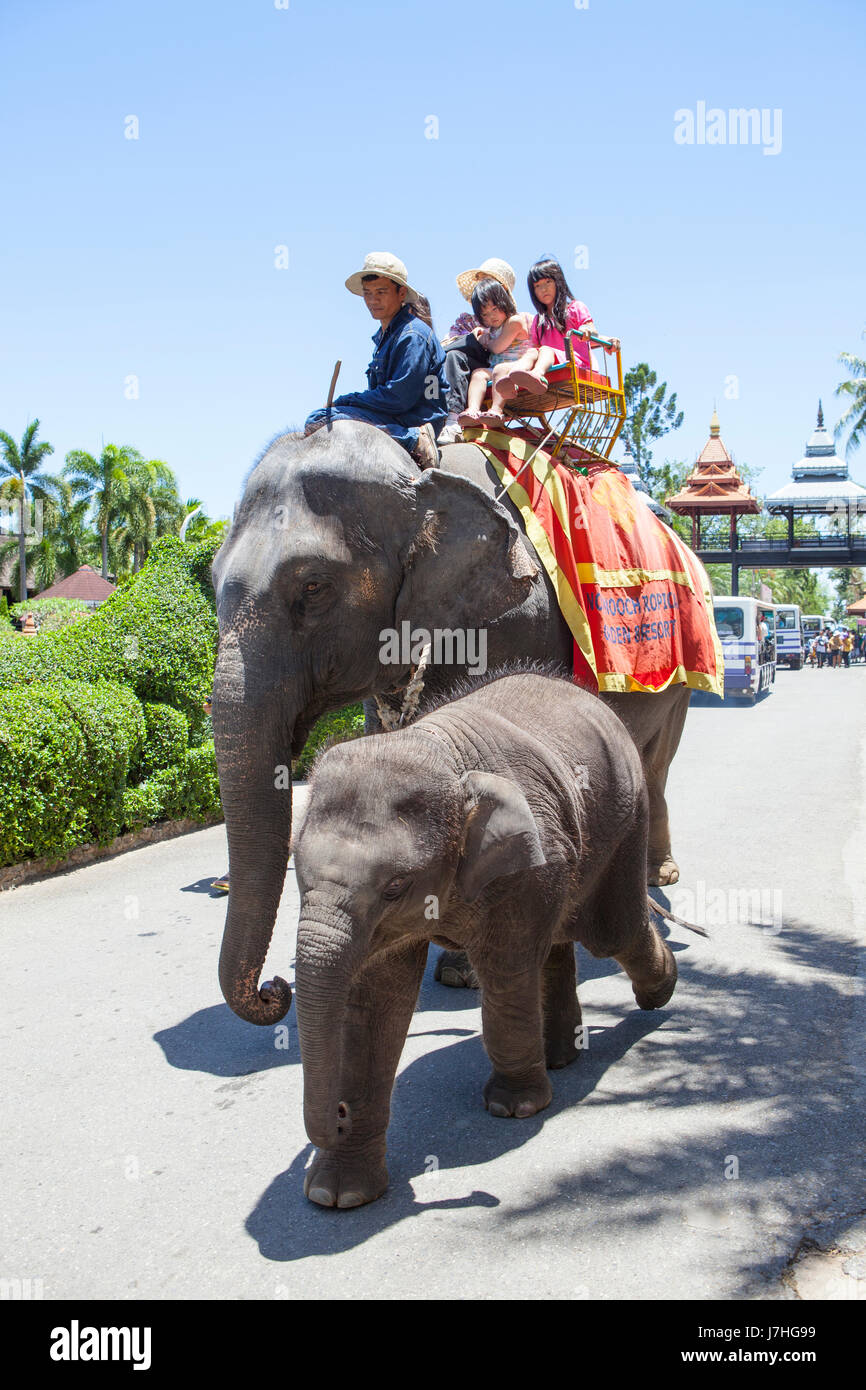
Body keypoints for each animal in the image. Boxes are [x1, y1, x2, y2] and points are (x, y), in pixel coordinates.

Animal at [210, 421, 693, 1028]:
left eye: (313, 587)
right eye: (211, 580)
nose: (275, 990)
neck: (420, 470)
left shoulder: (516, 617)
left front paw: (463, 971)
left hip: (681, 667)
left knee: (658, 762)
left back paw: (661, 876)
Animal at [291, 667, 677, 1208]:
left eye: (395, 887)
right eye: (298, 874)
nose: (336, 1118)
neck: (436, 749)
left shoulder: (527, 860)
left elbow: (505, 967)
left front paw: (515, 1108)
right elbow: (373, 1004)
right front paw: (337, 1195)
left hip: (625, 815)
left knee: (611, 932)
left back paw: (660, 992)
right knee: (559, 940)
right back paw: (559, 1056)